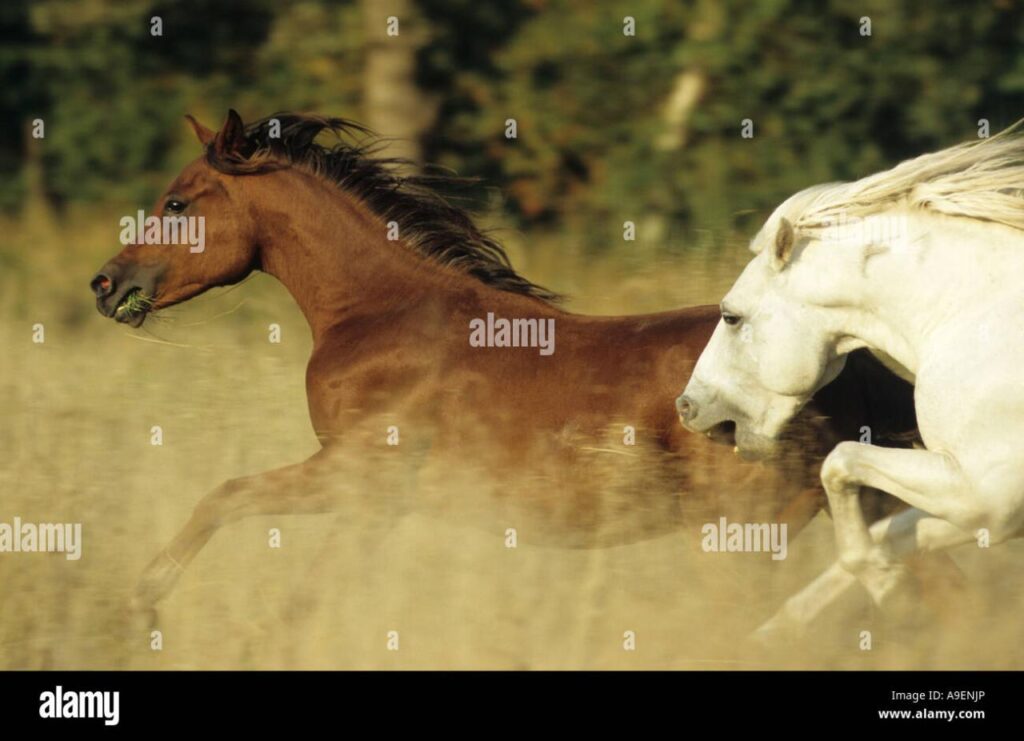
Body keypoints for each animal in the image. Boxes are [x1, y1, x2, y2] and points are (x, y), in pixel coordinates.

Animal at [90, 110, 924, 621]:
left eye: (176, 202)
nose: (107, 283)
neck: (383, 312)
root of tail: (854, 370)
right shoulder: (377, 503)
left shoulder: (357, 477)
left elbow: (228, 502)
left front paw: (143, 600)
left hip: (738, 535)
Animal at [678, 124, 1024, 637]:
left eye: (731, 316)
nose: (687, 406)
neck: (973, 312)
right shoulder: (980, 507)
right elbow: (885, 536)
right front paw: (775, 635)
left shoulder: (987, 495)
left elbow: (839, 466)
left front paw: (893, 593)